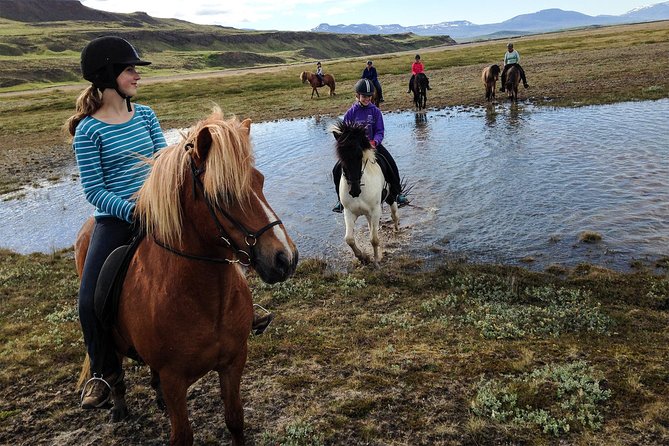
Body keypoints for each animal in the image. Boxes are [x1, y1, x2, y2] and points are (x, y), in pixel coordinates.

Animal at [74, 108, 298, 446]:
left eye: (259, 180)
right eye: (223, 193)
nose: (285, 258)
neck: (205, 301)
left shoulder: (233, 363)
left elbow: (235, 419)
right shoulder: (174, 379)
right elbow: (182, 436)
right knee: (115, 372)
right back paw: (117, 406)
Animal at [332, 120, 399, 265]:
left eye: (359, 155)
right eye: (341, 157)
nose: (354, 191)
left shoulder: (375, 211)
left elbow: (374, 239)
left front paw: (376, 259)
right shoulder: (349, 212)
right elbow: (349, 239)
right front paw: (362, 257)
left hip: (390, 197)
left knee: (394, 215)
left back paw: (397, 230)